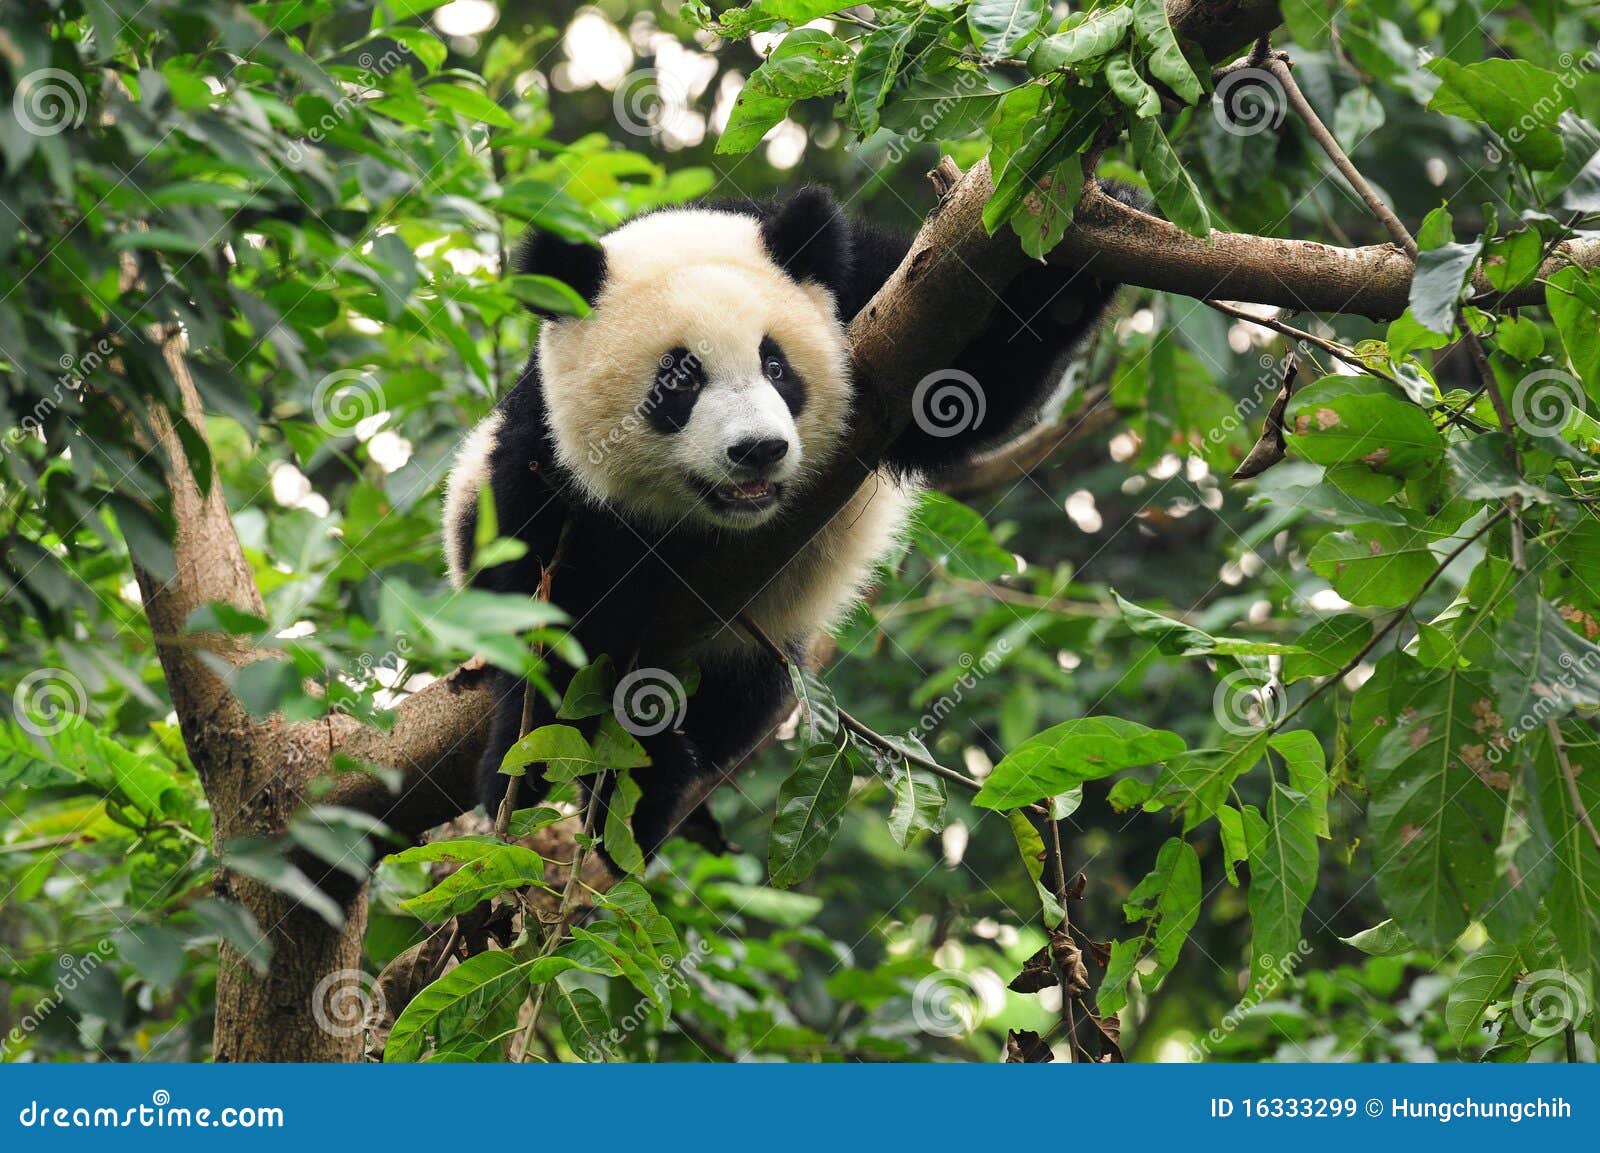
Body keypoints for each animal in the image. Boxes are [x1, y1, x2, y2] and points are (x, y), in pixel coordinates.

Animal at [442, 185, 1123, 862]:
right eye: (678, 380)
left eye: (776, 366)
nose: (758, 450)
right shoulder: (544, 458)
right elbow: (554, 613)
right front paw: (556, 768)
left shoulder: (874, 295)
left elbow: (970, 385)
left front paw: (1077, 244)